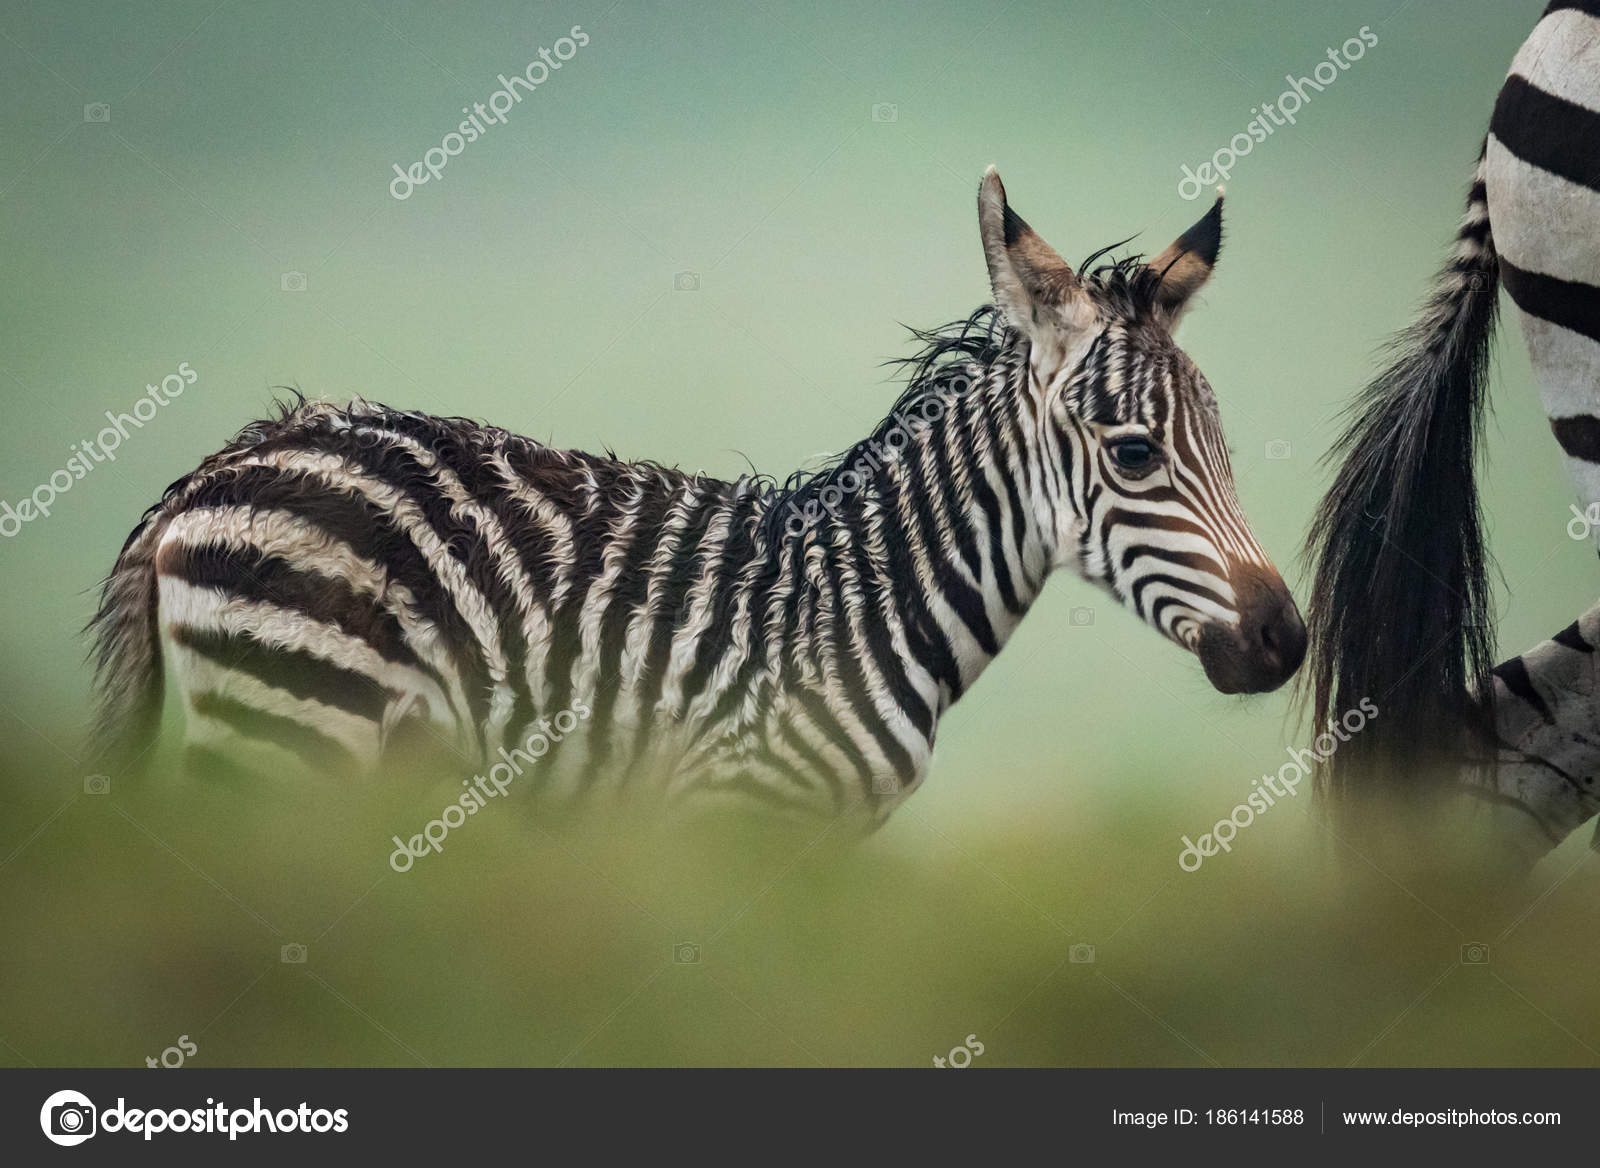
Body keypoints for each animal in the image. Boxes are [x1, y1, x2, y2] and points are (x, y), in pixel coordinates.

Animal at [88, 168, 1306, 820]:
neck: (870, 608)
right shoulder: (737, 812)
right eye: (1135, 455)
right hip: (294, 729)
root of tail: (217, 464)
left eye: (1226, 450)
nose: (1287, 642)